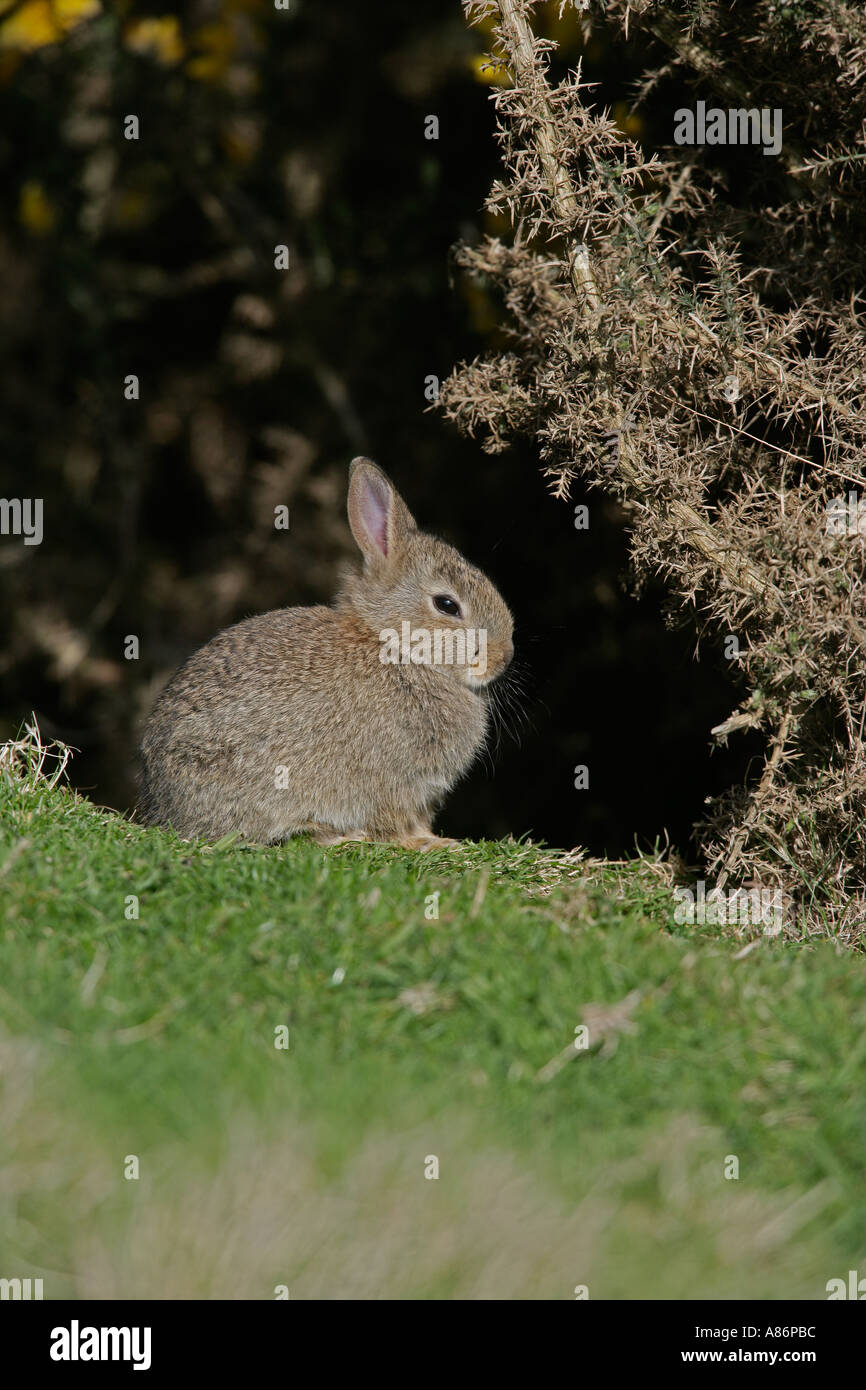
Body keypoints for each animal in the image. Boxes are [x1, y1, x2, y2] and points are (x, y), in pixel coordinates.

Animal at [138, 457, 514, 850]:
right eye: (447, 605)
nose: (504, 657)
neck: (399, 649)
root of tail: (161, 798)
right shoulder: (392, 781)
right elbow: (395, 821)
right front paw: (429, 843)